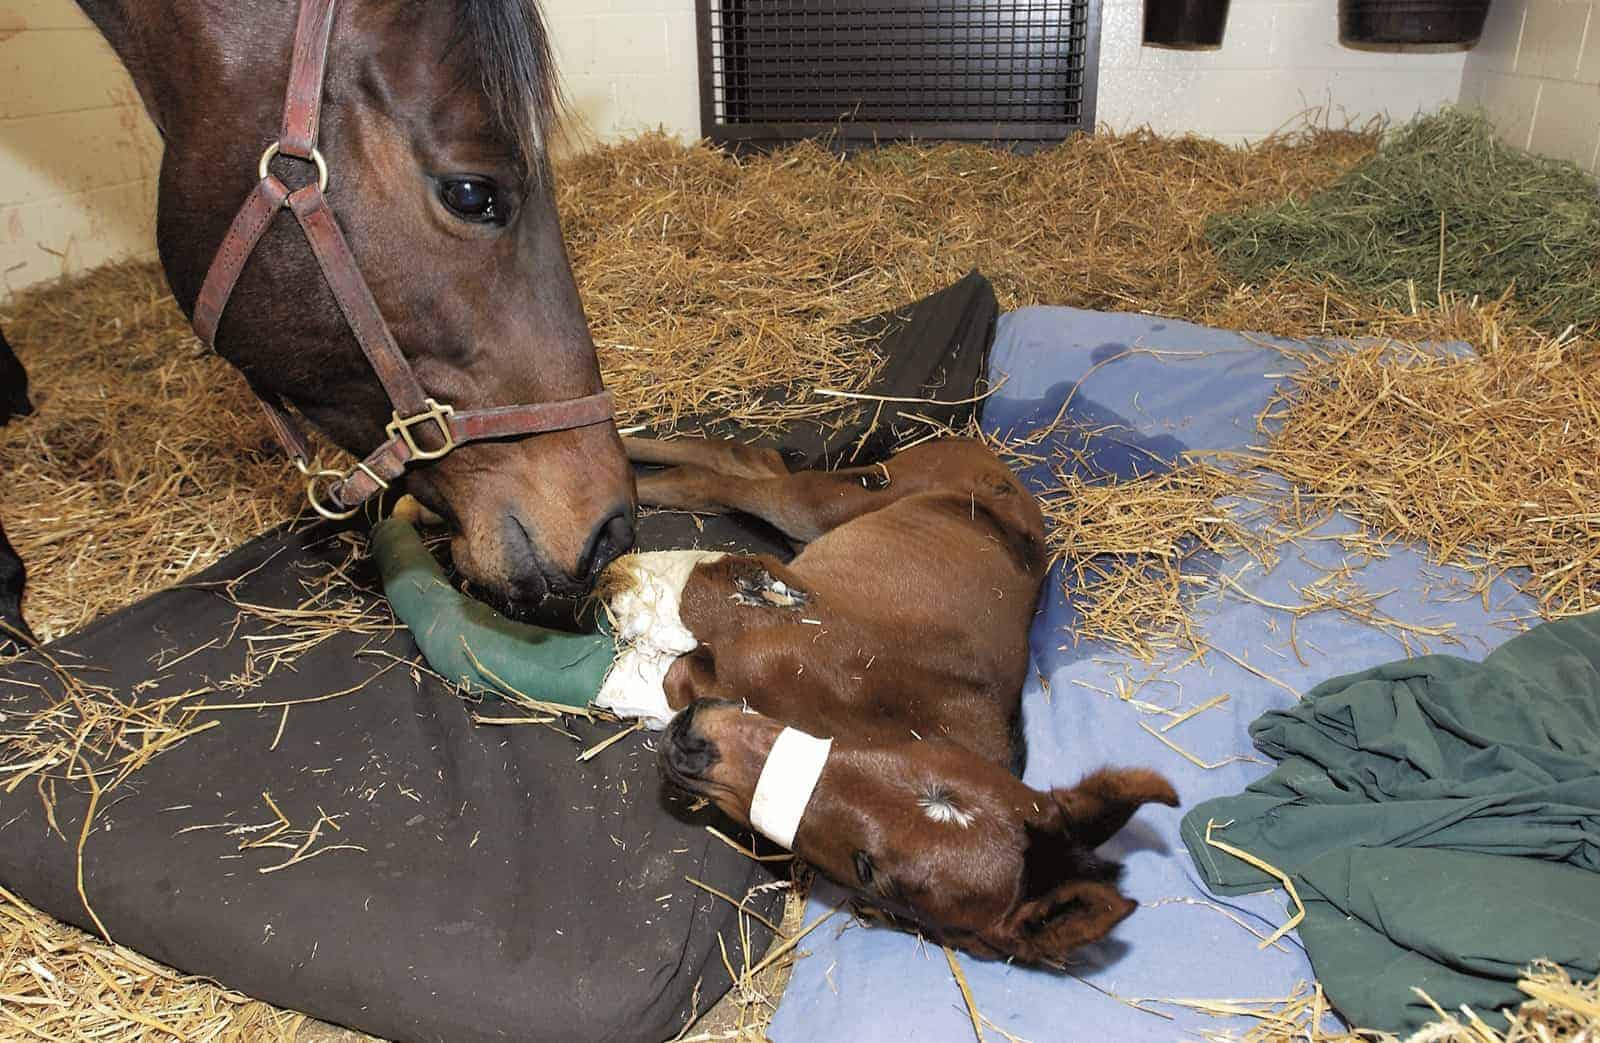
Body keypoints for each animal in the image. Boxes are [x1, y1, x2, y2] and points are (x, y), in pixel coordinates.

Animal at [598, 436, 1179, 965]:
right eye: (923, 760)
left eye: (869, 872)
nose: (696, 745)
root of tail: (994, 461)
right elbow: (696, 601)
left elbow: (677, 677)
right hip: (830, 500)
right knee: (726, 476)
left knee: (743, 468)